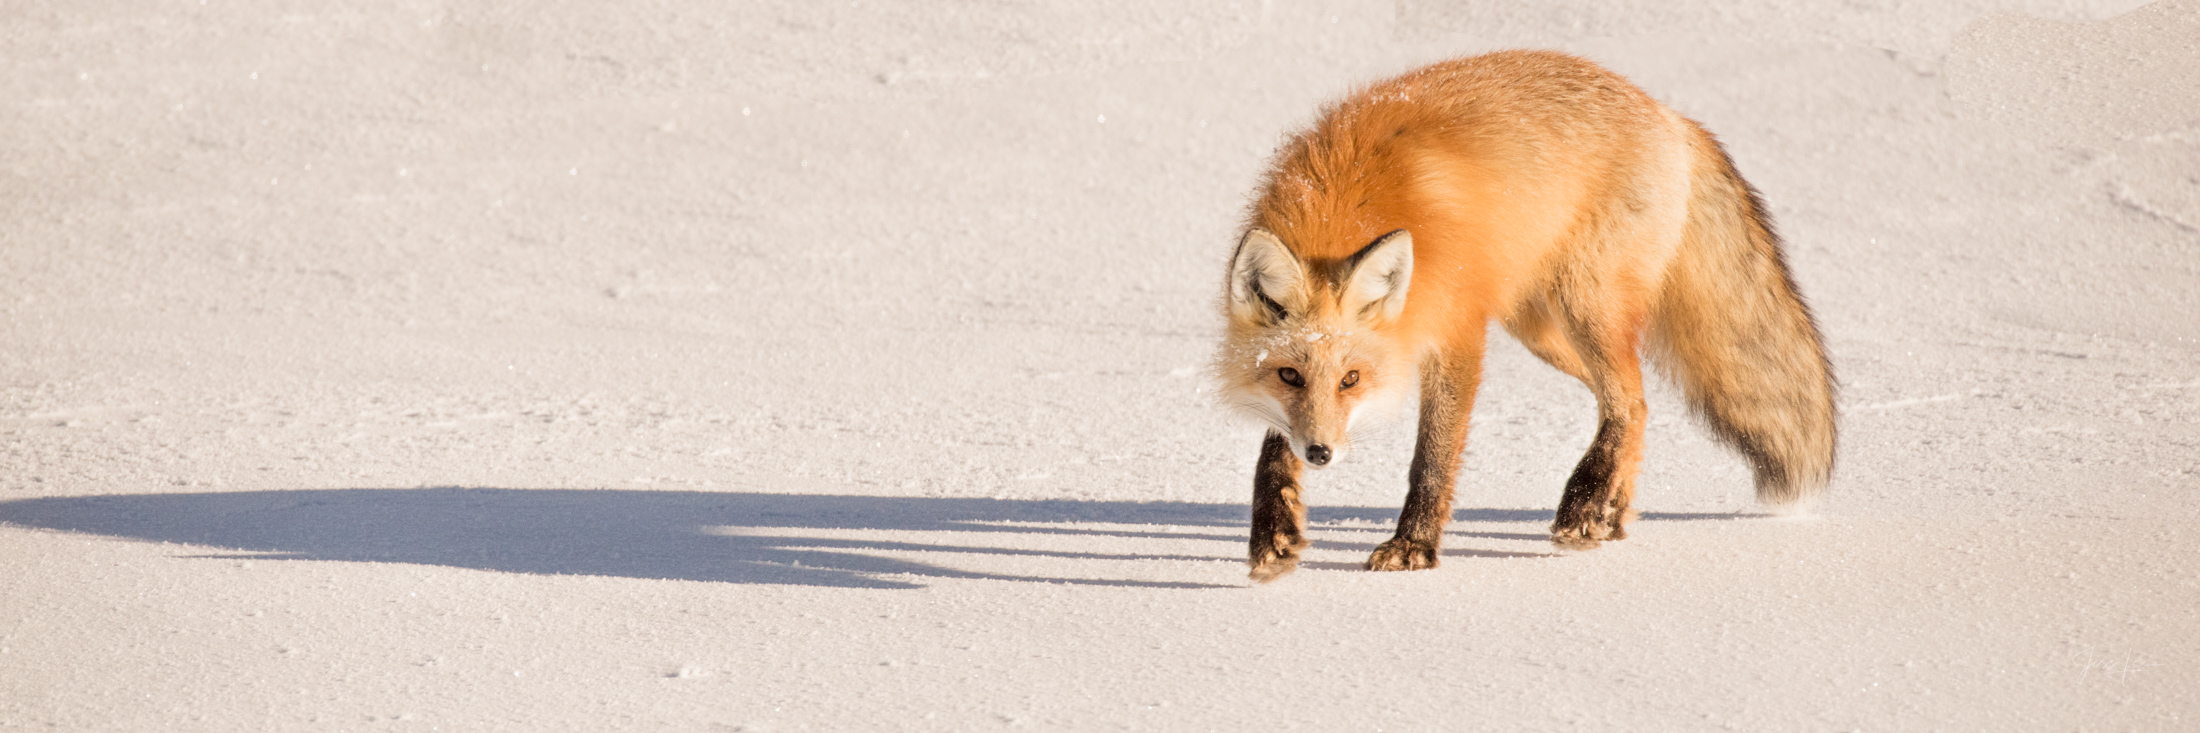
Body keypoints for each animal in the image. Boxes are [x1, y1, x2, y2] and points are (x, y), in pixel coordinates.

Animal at [1215, 50, 1836, 583]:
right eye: (1289, 375)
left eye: (1351, 379)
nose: (1321, 454)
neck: (1342, 203)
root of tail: (1671, 115)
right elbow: (1273, 447)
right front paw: (1273, 534)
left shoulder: (1459, 331)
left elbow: (1432, 457)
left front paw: (1415, 546)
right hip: (1542, 330)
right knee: (1632, 401)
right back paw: (1613, 511)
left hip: (1585, 304)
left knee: (1628, 400)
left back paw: (1584, 507)